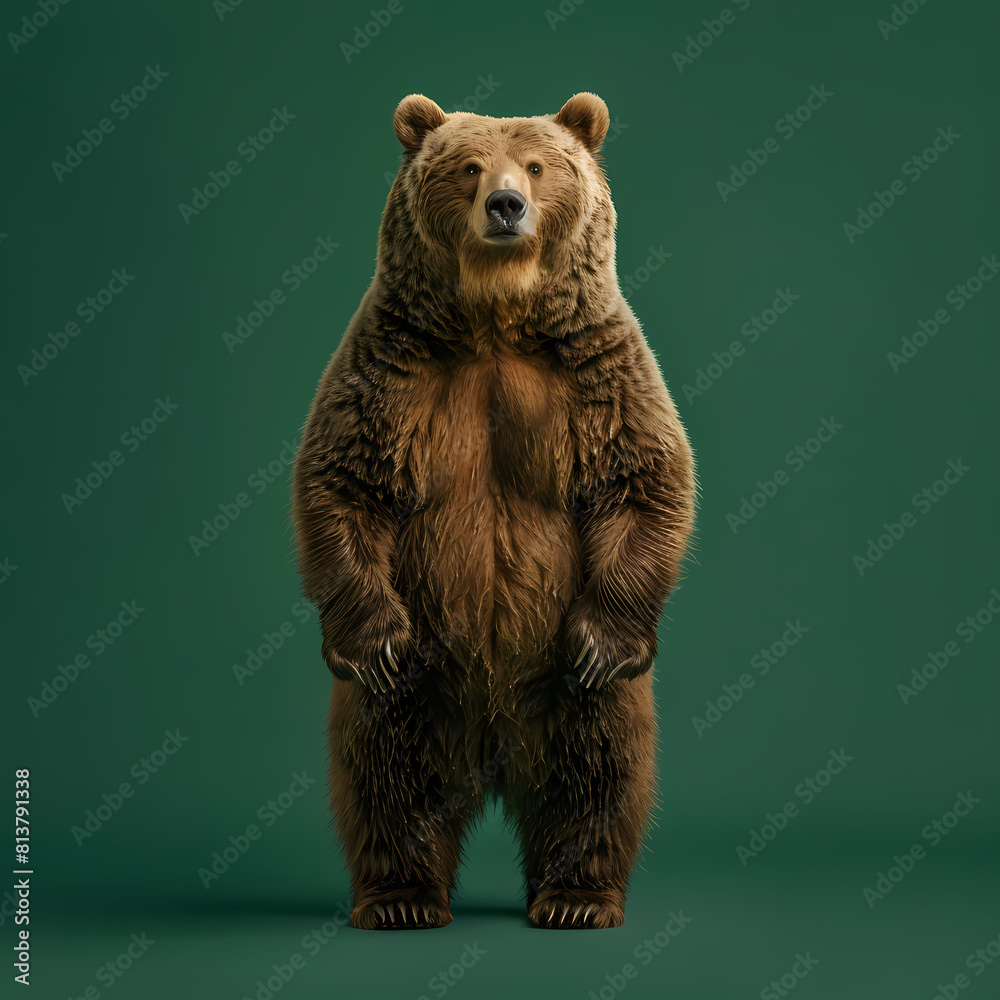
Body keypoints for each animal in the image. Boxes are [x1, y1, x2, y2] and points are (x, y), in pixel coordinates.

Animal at [292, 92, 696, 931]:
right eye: (470, 166)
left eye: (537, 166)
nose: (506, 206)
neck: (496, 317)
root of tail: (493, 747)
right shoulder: (392, 363)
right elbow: (343, 479)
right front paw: (374, 642)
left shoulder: (597, 366)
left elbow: (645, 476)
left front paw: (602, 642)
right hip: (425, 671)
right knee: (387, 765)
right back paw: (401, 897)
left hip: (560, 685)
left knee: (600, 761)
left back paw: (576, 896)